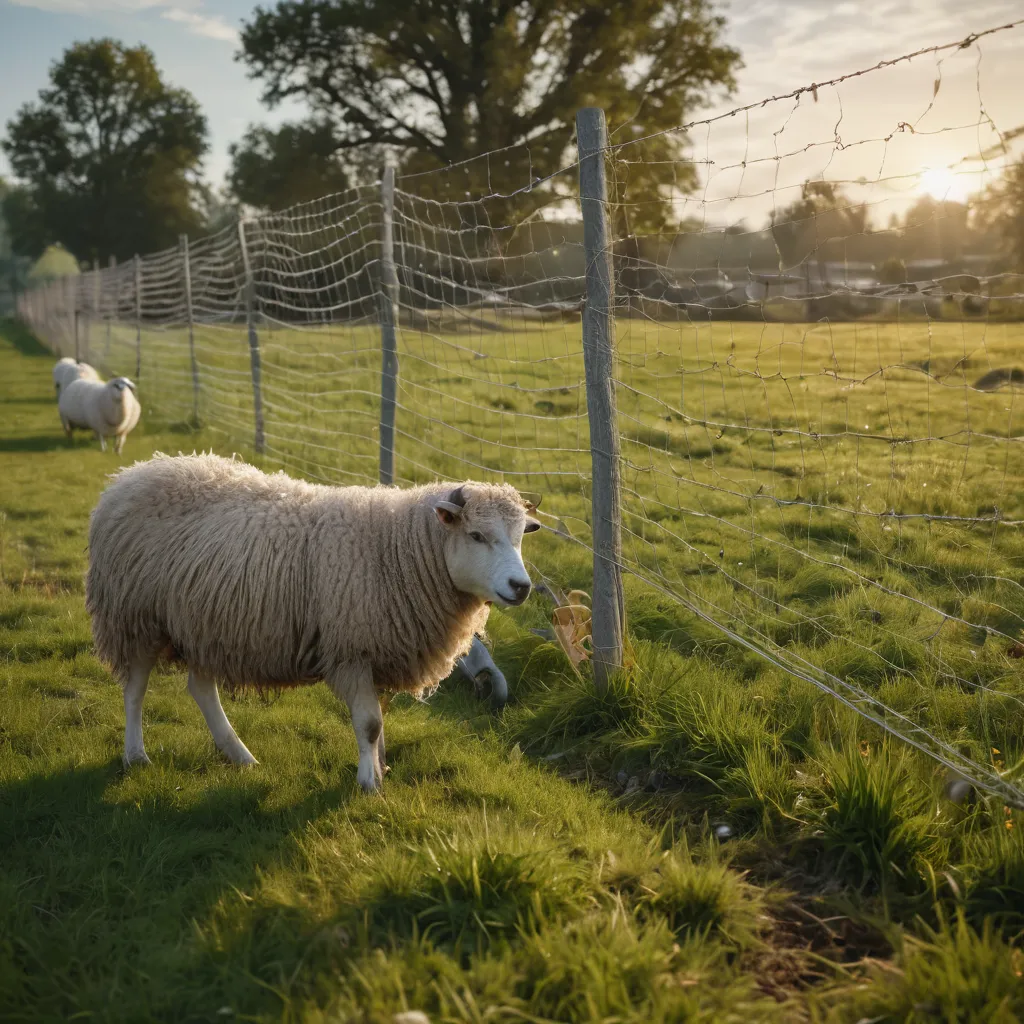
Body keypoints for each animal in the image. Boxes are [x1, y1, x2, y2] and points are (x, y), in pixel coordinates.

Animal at [85, 453, 541, 790]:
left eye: (521, 535)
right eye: (477, 536)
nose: (521, 587)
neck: (396, 550)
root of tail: (128, 475)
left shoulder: (377, 653)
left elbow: (379, 722)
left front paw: (380, 769)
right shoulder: (352, 650)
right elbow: (370, 724)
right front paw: (368, 784)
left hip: (205, 623)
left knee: (200, 689)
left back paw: (240, 755)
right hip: (135, 616)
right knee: (135, 691)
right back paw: (136, 755)